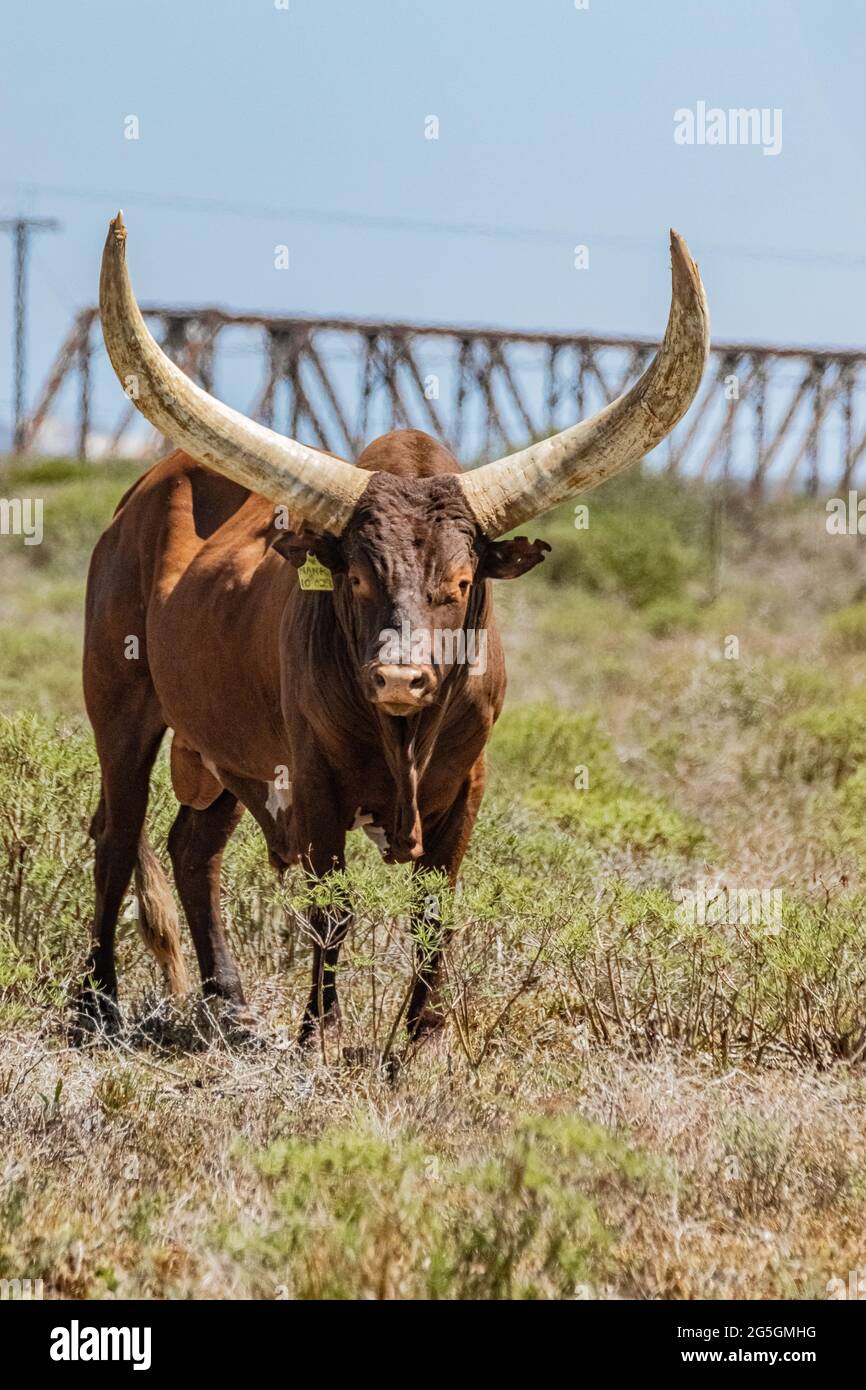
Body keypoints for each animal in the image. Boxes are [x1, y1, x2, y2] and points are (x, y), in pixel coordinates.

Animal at [78, 213, 708, 1046]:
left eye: (463, 583)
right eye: (355, 578)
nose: (401, 678)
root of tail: (137, 497)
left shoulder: (467, 787)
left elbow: (433, 915)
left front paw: (418, 1041)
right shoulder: (314, 780)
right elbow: (332, 911)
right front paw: (319, 1035)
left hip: (223, 749)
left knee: (192, 849)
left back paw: (231, 1005)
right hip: (120, 705)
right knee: (118, 840)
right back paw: (96, 1005)